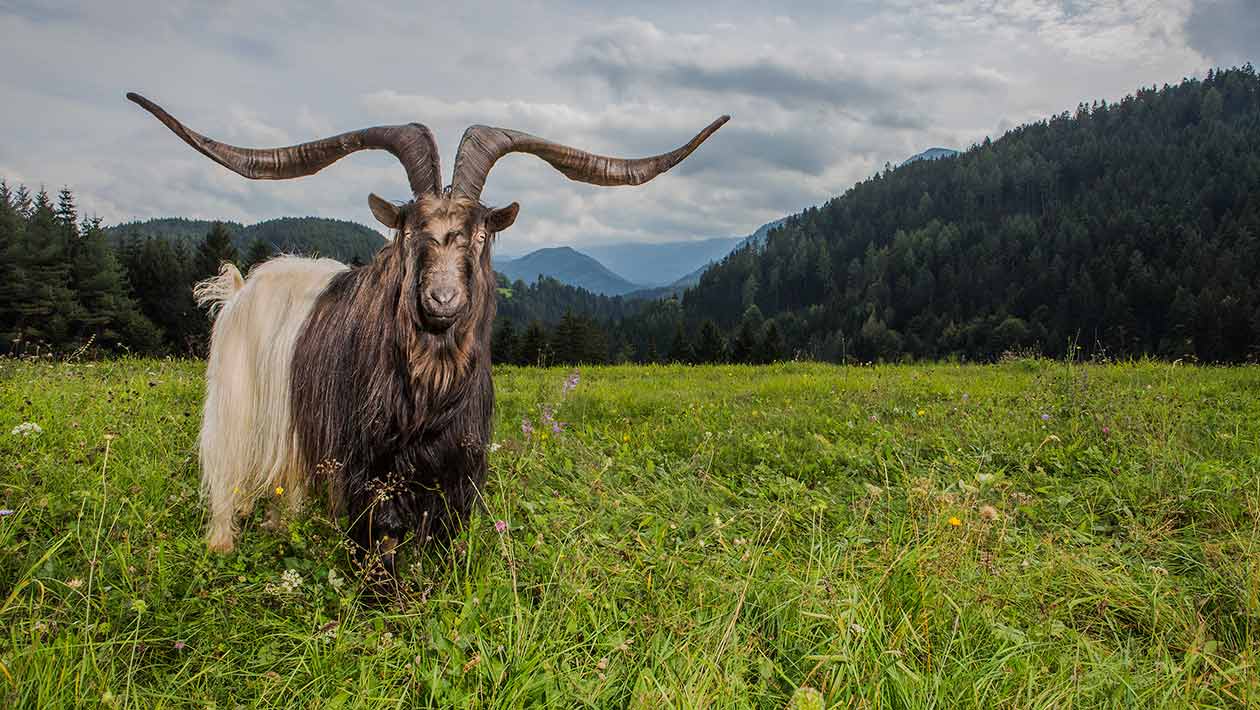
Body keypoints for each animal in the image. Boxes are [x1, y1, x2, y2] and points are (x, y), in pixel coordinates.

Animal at [127, 92, 727, 573]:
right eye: (410, 229)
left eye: (480, 234)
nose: (442, 300)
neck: (428, 386)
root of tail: (238, 290)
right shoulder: (369, 469)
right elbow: (380, 542)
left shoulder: (455, 470)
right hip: (236, 407)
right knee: (225, 478)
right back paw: (222, 546)